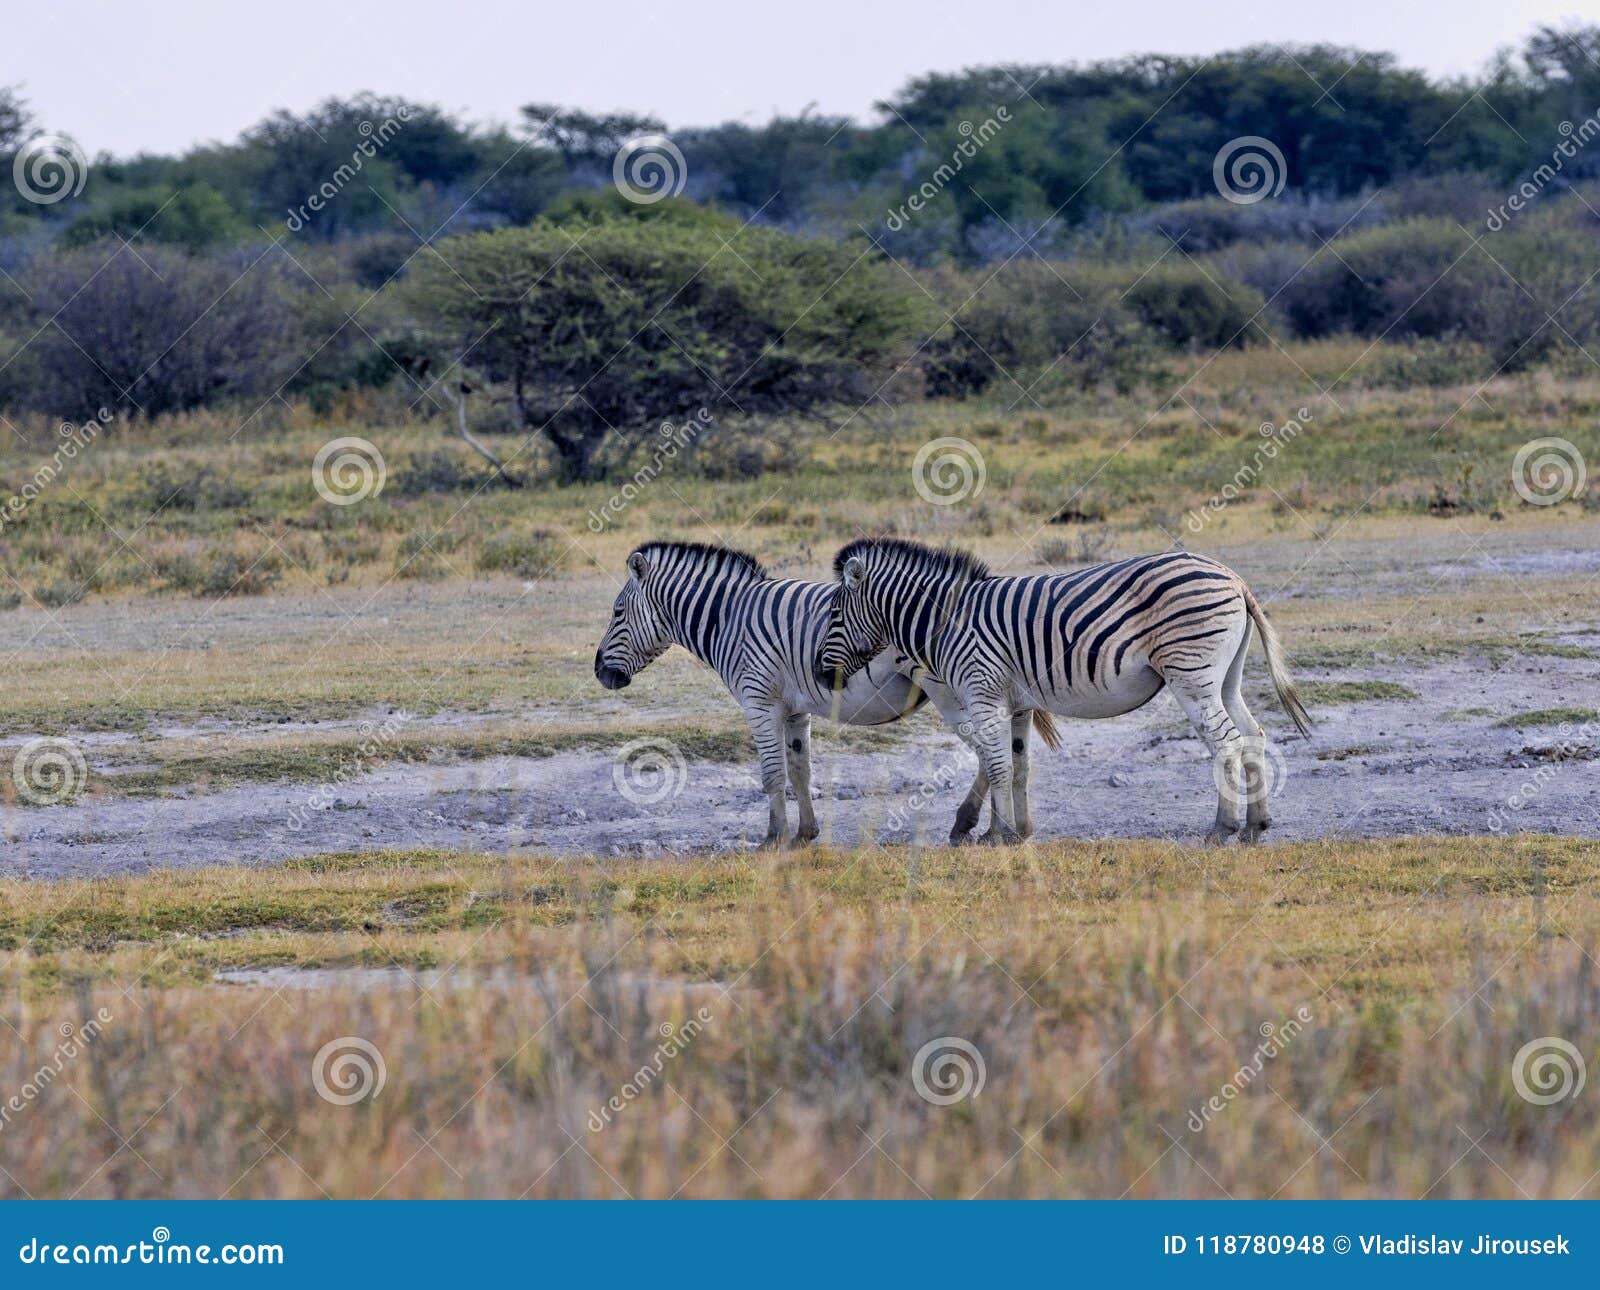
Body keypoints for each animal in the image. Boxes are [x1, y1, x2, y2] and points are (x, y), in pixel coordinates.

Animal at [594, 541, 1052, 847]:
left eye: (617, 613)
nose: (600, 673)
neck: (730, 619)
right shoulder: (795, 710)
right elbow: (800, 770)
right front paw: (805, 832)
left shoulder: (759, 702)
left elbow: (772, 774)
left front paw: (774, 839)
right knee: (1004, 754)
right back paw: (1001, 827)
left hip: (951, 691)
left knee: (987, 753)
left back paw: (981, 826)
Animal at [815, 538, 1312, 846]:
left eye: (835, 613)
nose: (822, 675)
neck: (946, 621)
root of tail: (1232, 577)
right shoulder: (1015, 704)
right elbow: (1016, 766)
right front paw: (1014, 832)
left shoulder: (981, 691)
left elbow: (996, 764)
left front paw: (995, 836)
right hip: (1224, 677)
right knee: (1253, 735)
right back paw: (1256, 825)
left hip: (1191, 673)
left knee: (1226, 742)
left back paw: (1221, 829)